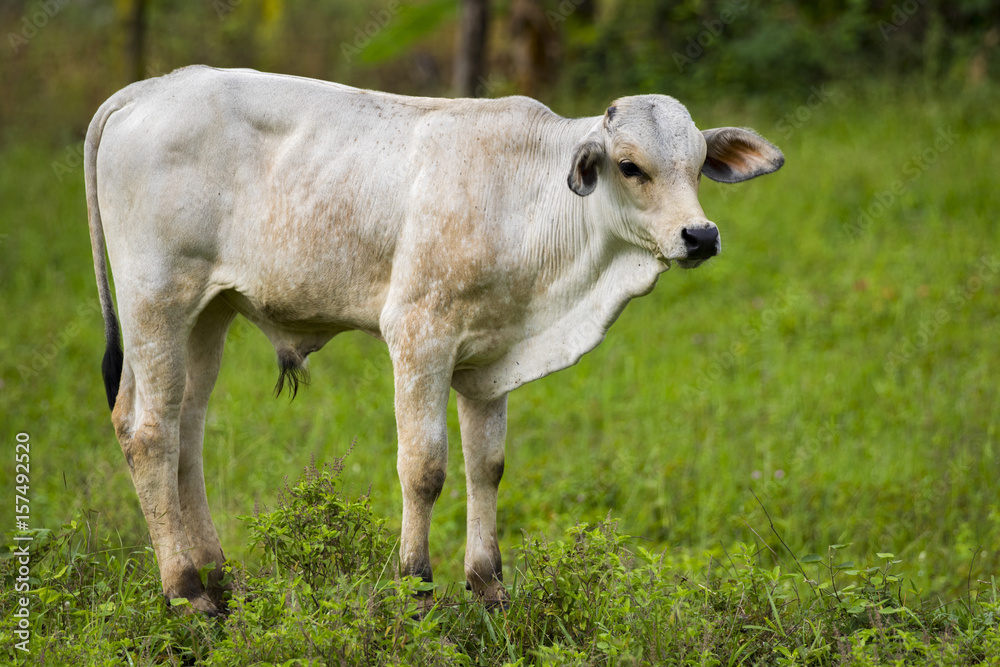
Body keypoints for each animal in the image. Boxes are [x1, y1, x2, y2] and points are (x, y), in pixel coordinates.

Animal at [85, 66, 783, 614]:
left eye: (698, 167)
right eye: (632, 167)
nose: (700, 235)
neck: (530, 201)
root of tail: (150, 88)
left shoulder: (490, 359)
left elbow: (487, 466)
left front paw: (489, 586)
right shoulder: (419, 337)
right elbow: (423, 469)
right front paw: (415, 589)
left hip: (209, 315)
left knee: (184, 434)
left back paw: (221, 580)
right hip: (156, 303)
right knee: (150, 435)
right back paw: (186, 592)